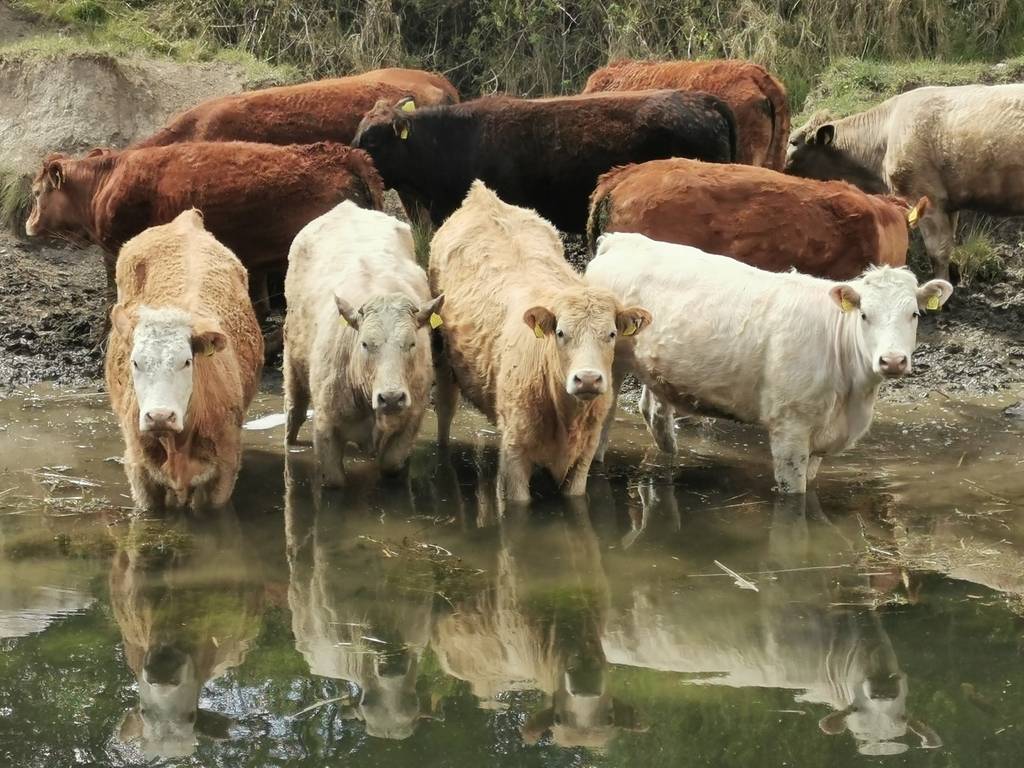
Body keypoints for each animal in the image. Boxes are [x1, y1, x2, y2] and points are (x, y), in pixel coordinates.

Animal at [105, 209, 264, 510]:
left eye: (186, 362)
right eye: (135, 362)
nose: (159, 416)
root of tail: (186, 220)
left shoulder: (222, 476)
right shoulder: (140, 474)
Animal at [283, 201, 442, 488]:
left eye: (412, 343)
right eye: (366, 344)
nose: (391, 398)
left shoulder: (410, 422)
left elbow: (392, 465)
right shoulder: (325, 427)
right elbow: (335, 481)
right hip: (291, 358)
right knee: (294, 412)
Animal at [429, 182, 650, 502]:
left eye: (611, 334)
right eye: (560, 333)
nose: (588, 379)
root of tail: (483, 195)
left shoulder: (583, 458)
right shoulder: (515, 455)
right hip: (441, 355)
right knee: (445, 410)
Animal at [585, 233, 952, 494]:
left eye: (914, 314)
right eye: (864, 315)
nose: (892, 360)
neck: (851, 400)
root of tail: (619, 240)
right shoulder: (790, 427)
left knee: (655, 412)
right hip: (611, 366)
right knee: (603, 420)